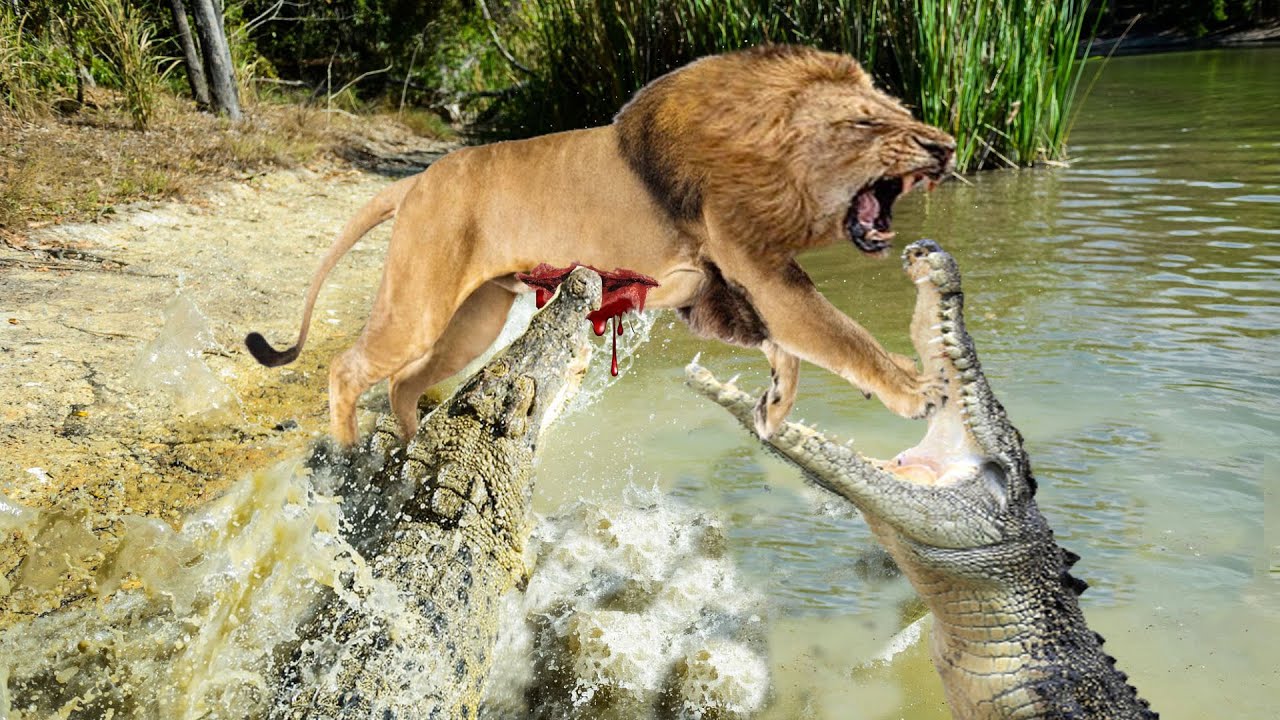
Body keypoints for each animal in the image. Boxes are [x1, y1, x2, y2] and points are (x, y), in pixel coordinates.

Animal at [245, 45, 956, 447]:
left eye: (901, 110)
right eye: (866, 121)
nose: (947, 147)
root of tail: (417, 180)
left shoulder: (717, 290)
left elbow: (786, 342)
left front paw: (774, 407)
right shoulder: (758, 268)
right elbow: (839, 332)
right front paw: (919, 389)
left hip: (475, 319)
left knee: (405, 381)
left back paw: (406, 450)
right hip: (418, 305)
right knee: (348, 368)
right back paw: (347, 454)